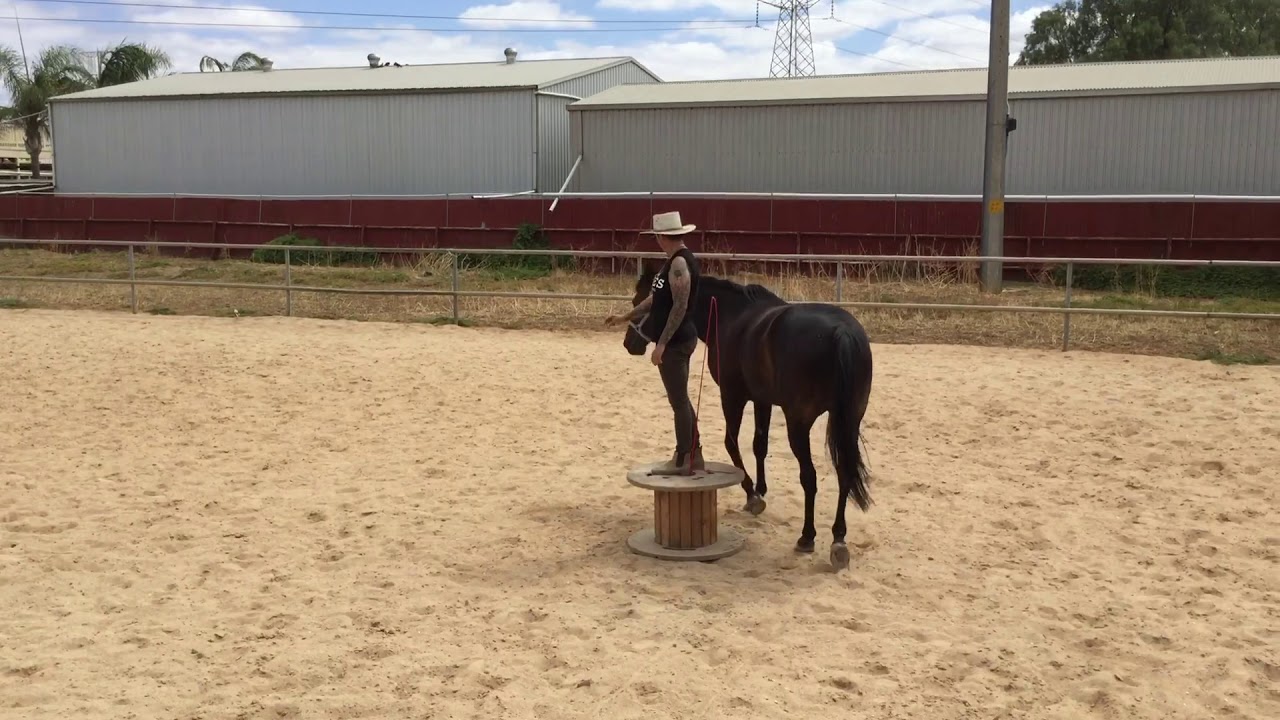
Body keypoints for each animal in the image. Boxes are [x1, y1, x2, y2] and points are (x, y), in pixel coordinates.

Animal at [621, 263, 875, 570]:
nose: (630, 343)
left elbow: (732, 443)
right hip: (847, 421)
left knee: (809, 476)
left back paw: (807, 536)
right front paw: (761, 488)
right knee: (844, 473)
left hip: (799, 423)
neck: (731, 315)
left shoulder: (733, 396)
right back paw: (838, 537)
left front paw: (752, 495)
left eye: (639, 301)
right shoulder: (763, 400)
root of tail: (841, 332)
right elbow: (759, 445)